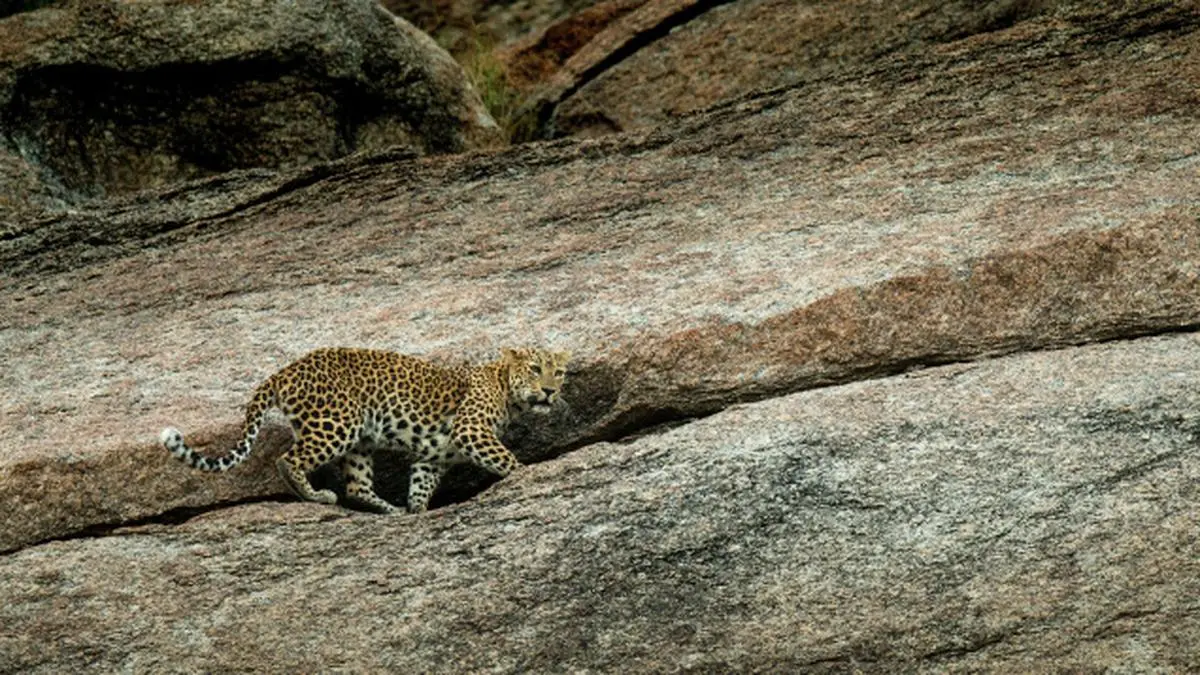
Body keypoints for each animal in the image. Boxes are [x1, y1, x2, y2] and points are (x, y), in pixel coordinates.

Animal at [160, 346, 571, 514]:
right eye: (535, 369)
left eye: (560, 372)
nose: (550, 391)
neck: (506, 389)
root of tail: (284, 371)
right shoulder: (471, 430)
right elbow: (507, 460)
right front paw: (527, 474)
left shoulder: (433, 457)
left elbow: (420, 484)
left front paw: (417, 510)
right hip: (337, 424)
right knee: (288, 459)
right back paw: (317, 496)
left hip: (359, 441)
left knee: (357, 486)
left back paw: (391, 511)